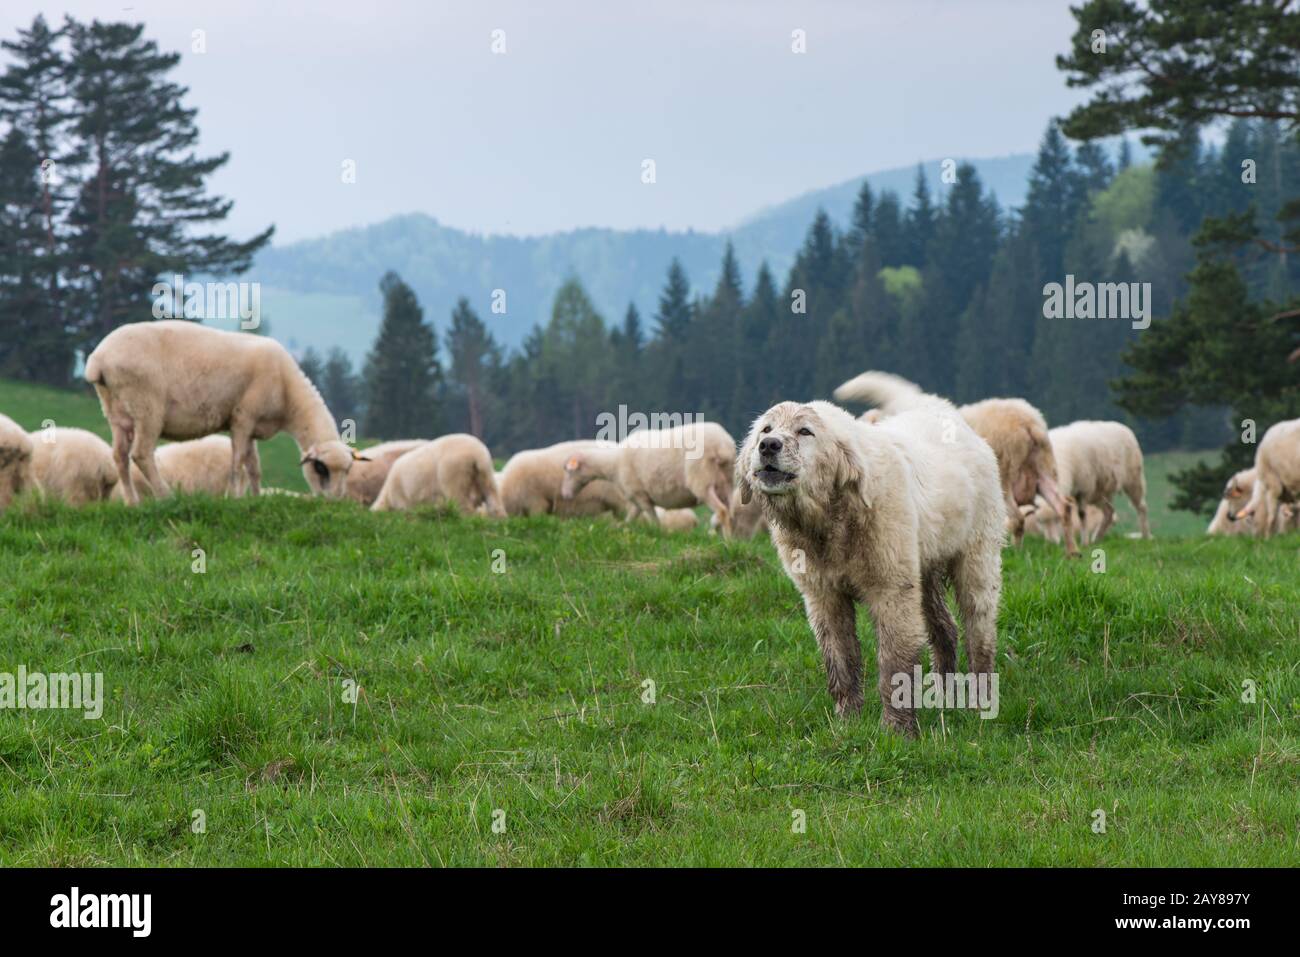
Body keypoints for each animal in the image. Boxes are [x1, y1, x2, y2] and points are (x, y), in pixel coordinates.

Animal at [84, 319, 364, 503]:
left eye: (348, 471)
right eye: (321, 469)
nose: (334, 501)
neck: (288, 394)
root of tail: (98, 360)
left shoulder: (253, 427)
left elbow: (253, 467)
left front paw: (255, 498)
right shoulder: (242, 417)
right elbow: (237, 463)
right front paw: (235, 498)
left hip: (117, 413)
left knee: (120, 456)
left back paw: (133, 502)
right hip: (147, 408)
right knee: (141, 454)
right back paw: (166, 496)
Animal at [371, 433, 505, 515]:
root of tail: (476, 456)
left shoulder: (402, 496)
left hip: (454, 471)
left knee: (460, 499)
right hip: (485, 472)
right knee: (492, 495)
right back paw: (499, 518)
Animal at [558, 421, 736, 533]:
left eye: (569, 471)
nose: (565, 495)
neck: (613, 463)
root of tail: (722, 444)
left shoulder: (640, 495)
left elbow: (653, 519)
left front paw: (658, 533)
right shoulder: (636, 497)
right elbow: (631, 517)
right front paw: (620, 528)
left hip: (702, 480)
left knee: (721, 511)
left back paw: (727, 542)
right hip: (726, 482)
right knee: (730, 511)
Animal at [1048, 420, 1151, 550]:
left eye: (1056, 520)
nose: (1053, 542)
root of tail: (1121, 426)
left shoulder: (1084, 488)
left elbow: (1082, 514)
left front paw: (1084, 542)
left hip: (1133, 479)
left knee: (1141, 507)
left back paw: (1145, 536)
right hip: (1100, 492)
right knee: (1109, 512)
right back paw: (1097, 538)